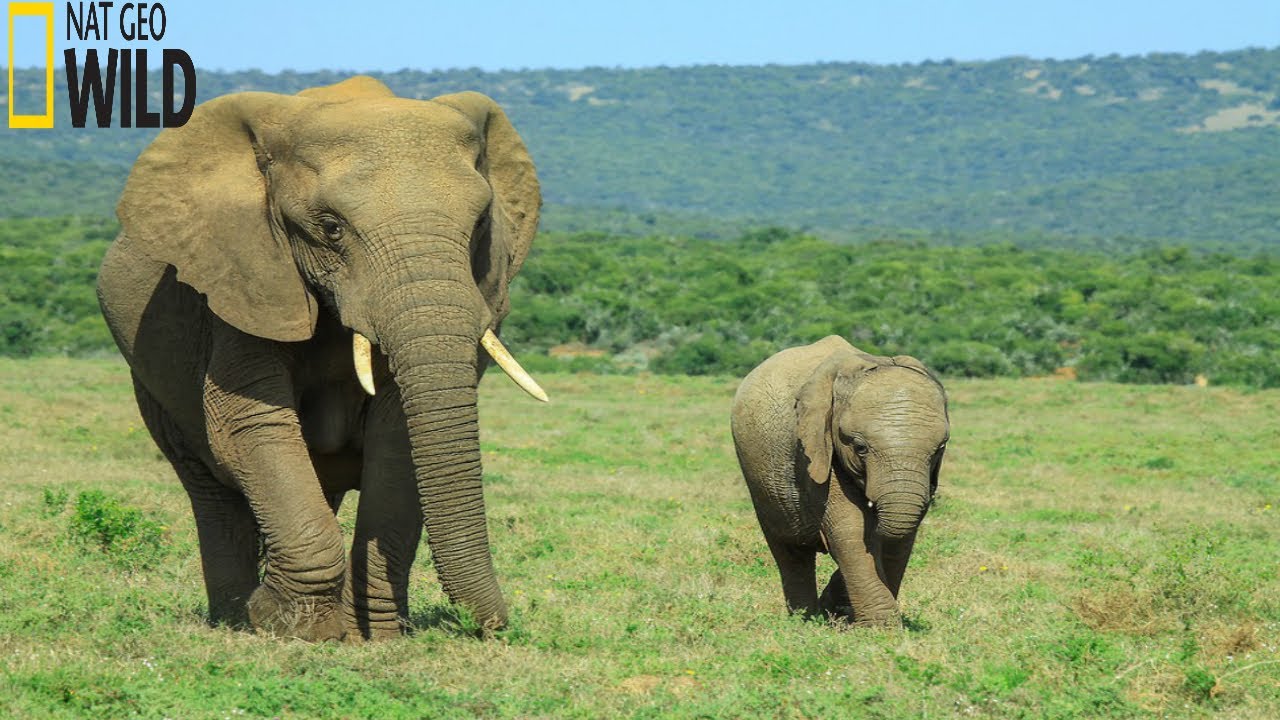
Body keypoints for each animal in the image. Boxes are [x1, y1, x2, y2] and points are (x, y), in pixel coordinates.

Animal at [96, 75, 547, 641]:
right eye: (331, 228)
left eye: (482, 222)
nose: (494, 625)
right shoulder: (246, 276)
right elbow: (250, 426)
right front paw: (286, 624)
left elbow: (398, 438)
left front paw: (372, 637)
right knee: (211, 488)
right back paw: (234, 618)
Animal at [730, 336, 948, 627]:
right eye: (860, 447)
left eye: (939, 448)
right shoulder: (814, 448)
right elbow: (851, 530)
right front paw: (880, 628)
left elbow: (901, 539)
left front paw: (842, 612)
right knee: (789, 550)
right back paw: (805, 619)